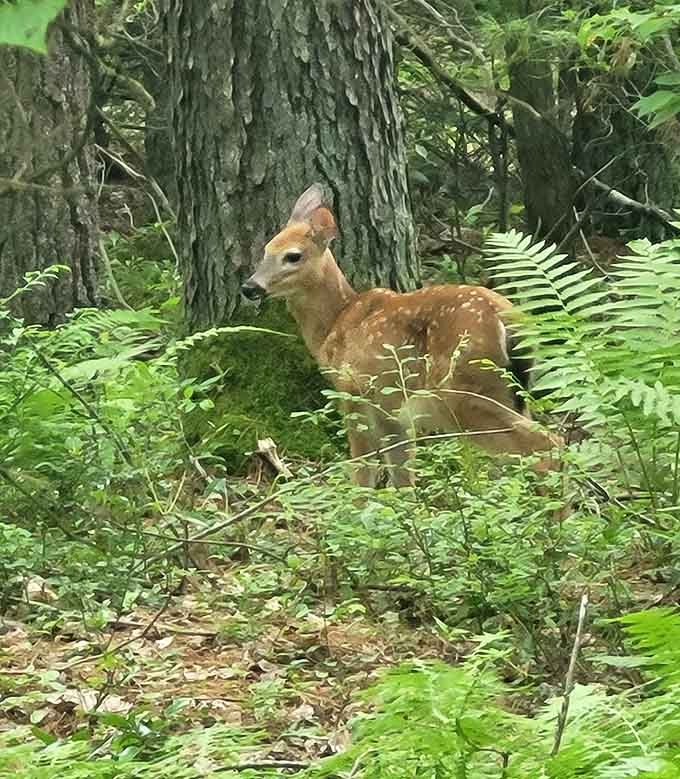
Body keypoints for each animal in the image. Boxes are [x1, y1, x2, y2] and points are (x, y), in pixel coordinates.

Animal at [241, 184, 562, 488]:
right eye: (266, 249)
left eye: (293, 256)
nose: (249, 287)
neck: (336, 322)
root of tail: (507, 320)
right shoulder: (393, 409)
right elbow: (402, 475)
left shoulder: (353, 391)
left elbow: (363, 470)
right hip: (509, 392)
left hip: (465, 390)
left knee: (548, 446)